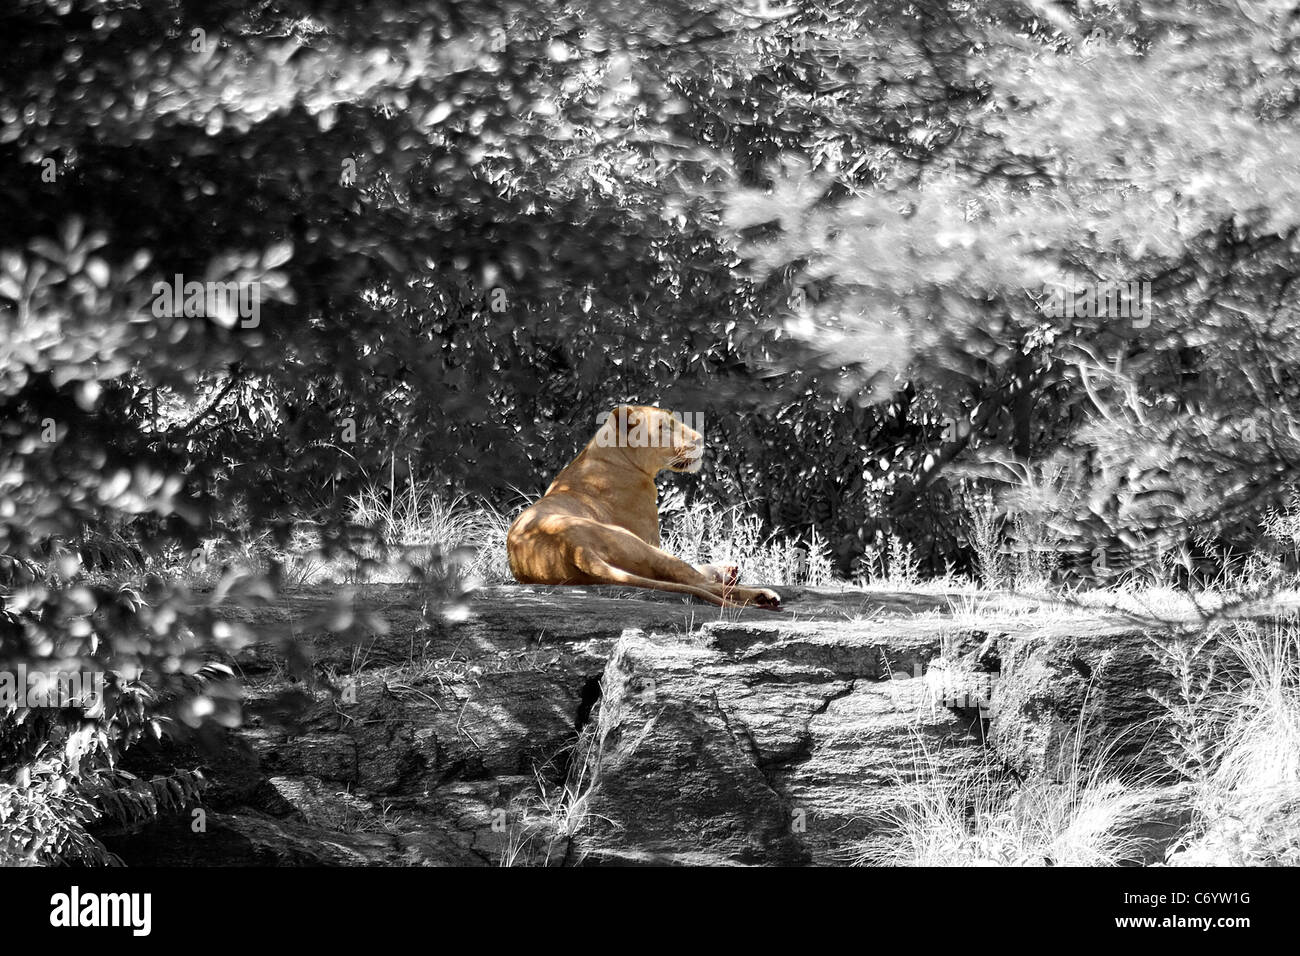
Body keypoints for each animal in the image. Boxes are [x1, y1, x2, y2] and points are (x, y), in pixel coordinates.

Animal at [507, 405, 782, 610]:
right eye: (663, 427)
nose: (700, 439)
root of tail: (574, 549)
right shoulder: (651, 537)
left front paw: (727, 568)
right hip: (639, 545)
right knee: (698, 582)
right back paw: (763, 595)